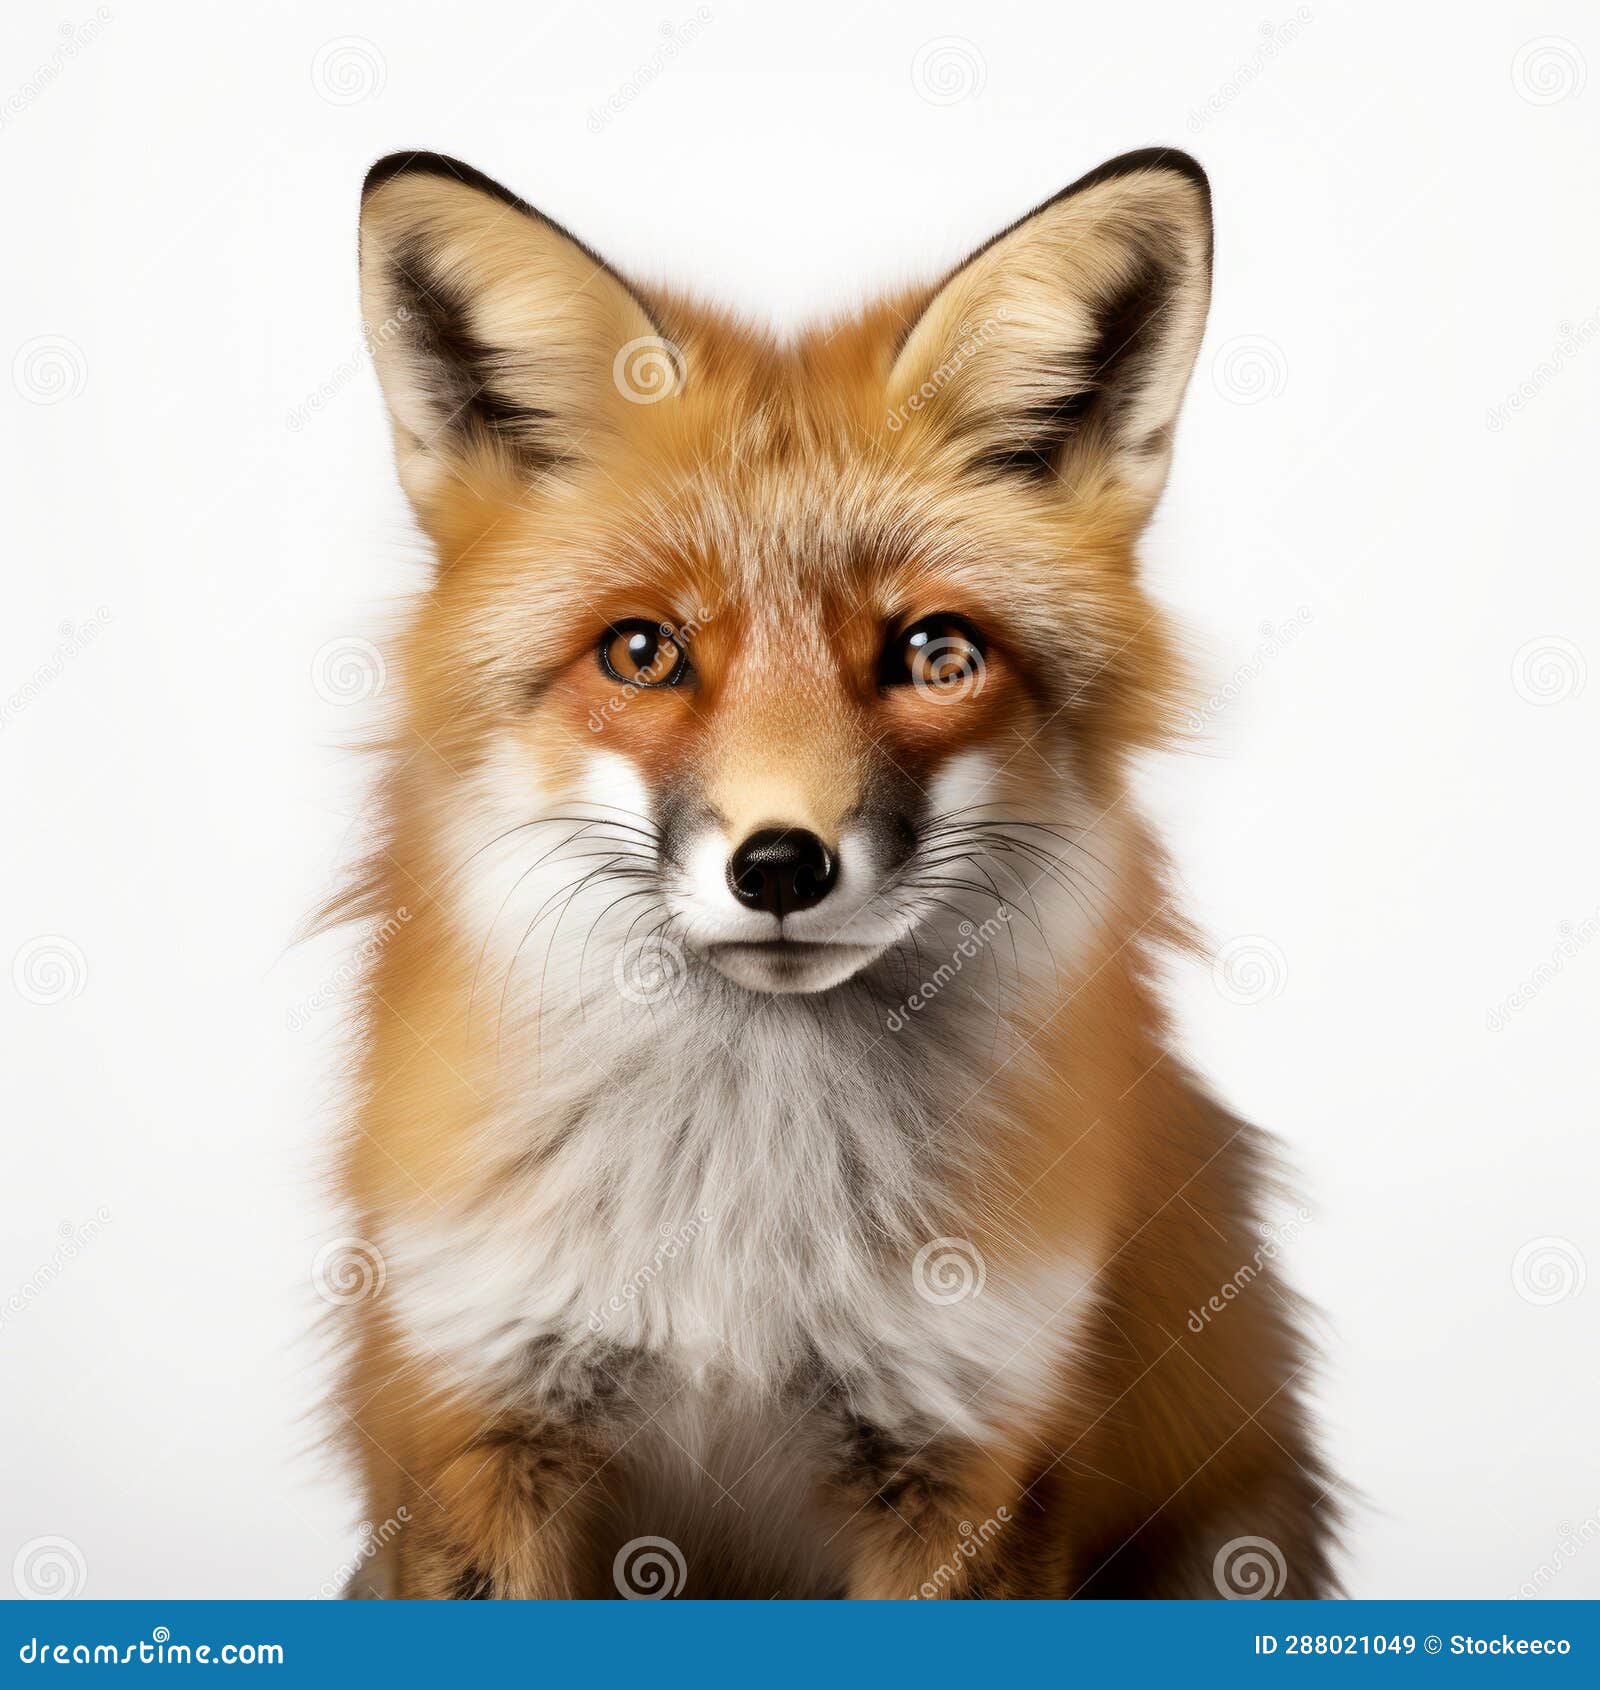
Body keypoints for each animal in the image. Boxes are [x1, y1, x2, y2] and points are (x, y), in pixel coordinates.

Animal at [328, 147, 1339, 1599]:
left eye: (935, 654)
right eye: (642, 652)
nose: (780, 863)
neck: (740, 1232)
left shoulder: (967, 1457)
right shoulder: (476, 1426)